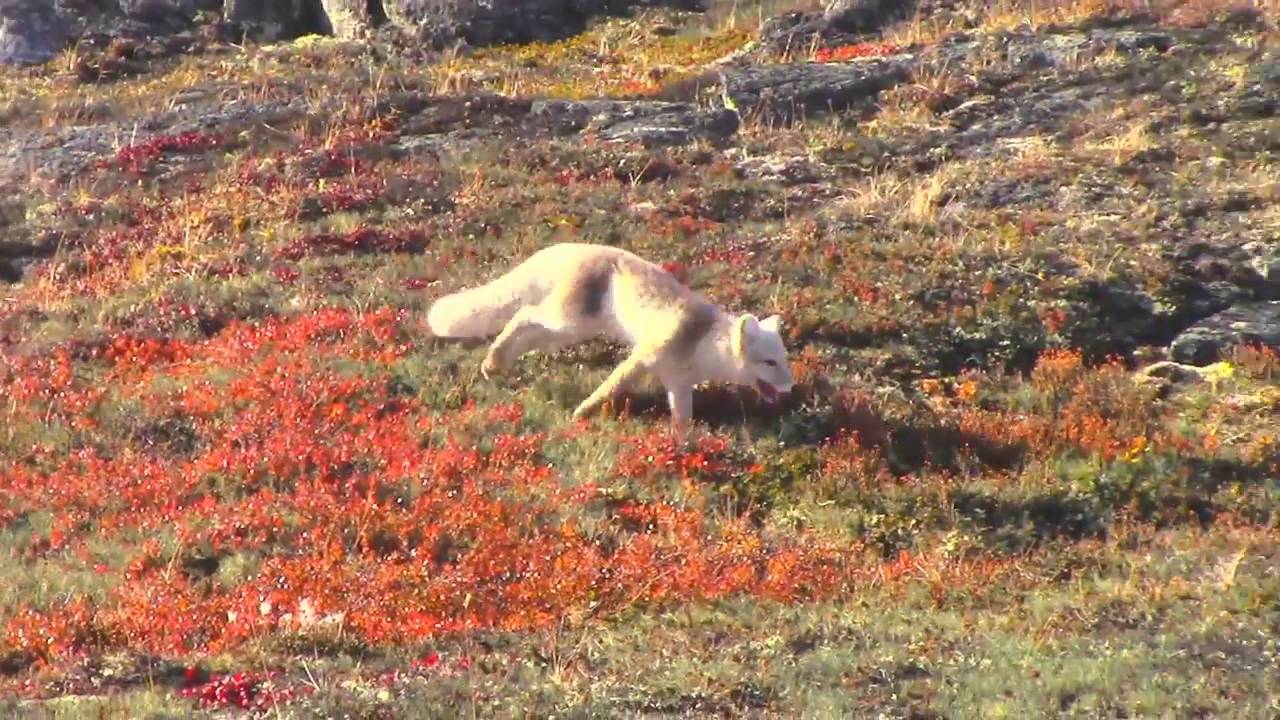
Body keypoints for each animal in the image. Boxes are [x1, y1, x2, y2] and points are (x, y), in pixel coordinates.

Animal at [426, 243, 794, 434]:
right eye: (769, 362)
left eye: (784, 361)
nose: (790, 388)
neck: (705, 344)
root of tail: (574, 247)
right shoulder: (644, 356)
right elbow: (611, 387)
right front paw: (582, 413)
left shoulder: (679, 383)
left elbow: (682, 417)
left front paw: (683, 444)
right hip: (567, 321)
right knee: (523, 314)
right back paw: (494, 361)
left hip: (568, 332)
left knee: (527, 334)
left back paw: (495, 365)